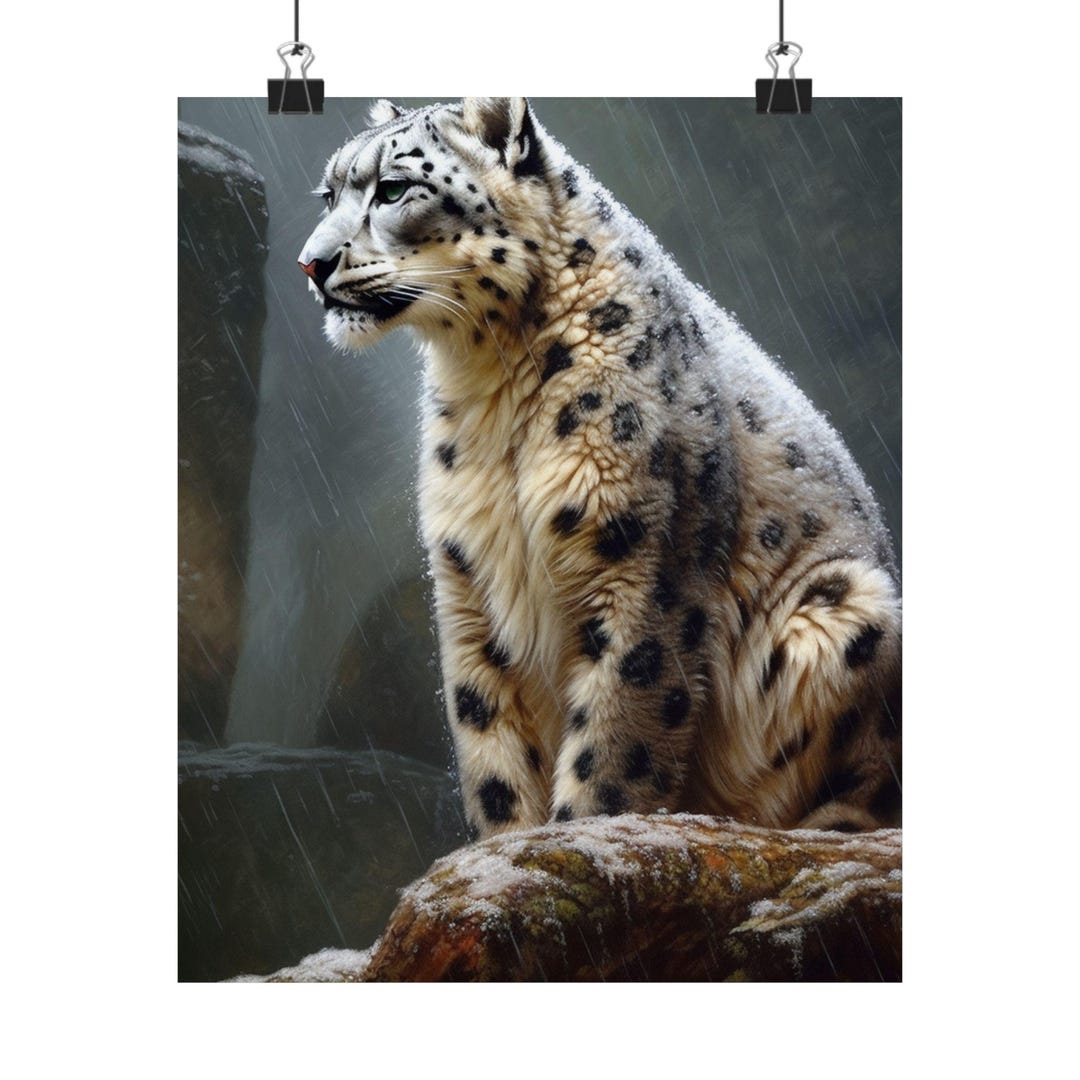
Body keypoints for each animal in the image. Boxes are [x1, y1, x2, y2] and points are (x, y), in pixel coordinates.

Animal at [297, 97, 901, 838]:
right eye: (329, 195)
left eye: (391, 189)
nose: (311, 264)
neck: (490, 390)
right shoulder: (469, 583)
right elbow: (492, 750)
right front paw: (506, 846)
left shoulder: (647, 560)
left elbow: (616, 739)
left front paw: (582, 832)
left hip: (852, 606)